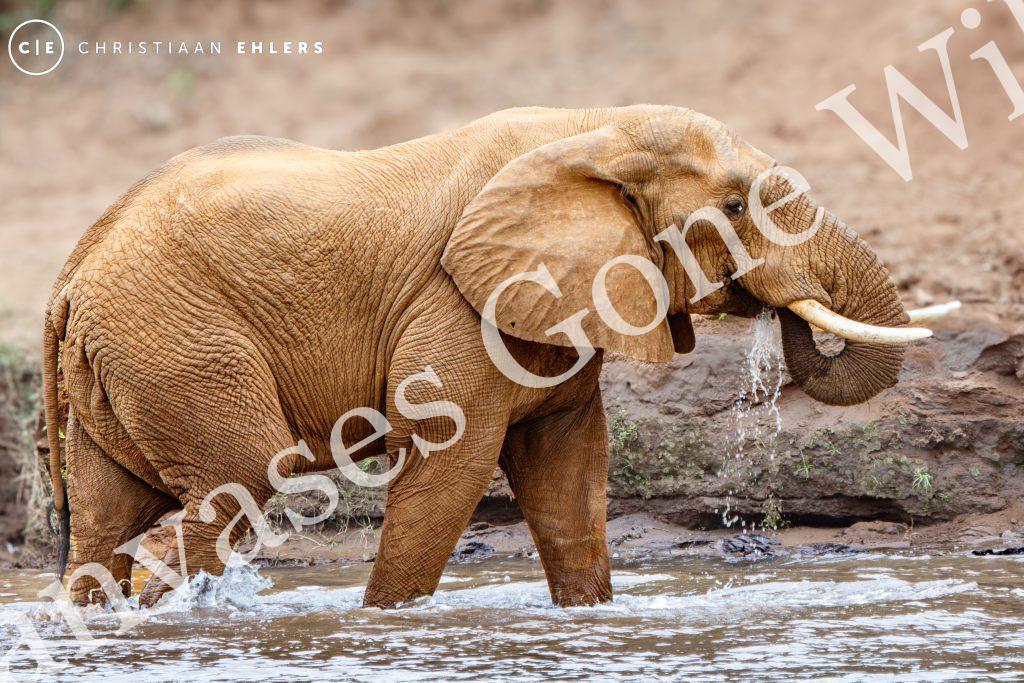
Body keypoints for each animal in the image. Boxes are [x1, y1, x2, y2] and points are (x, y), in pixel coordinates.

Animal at [42, 105, 940, 609]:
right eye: (733, 207)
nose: (772, 302)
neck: (596, 126)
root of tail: (72, 272)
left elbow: (568, 471)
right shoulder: (457, 300)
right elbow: (454, 466)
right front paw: (384, 623)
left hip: (130, 357)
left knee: (104, 516)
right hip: (176, 341)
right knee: (245, 476)